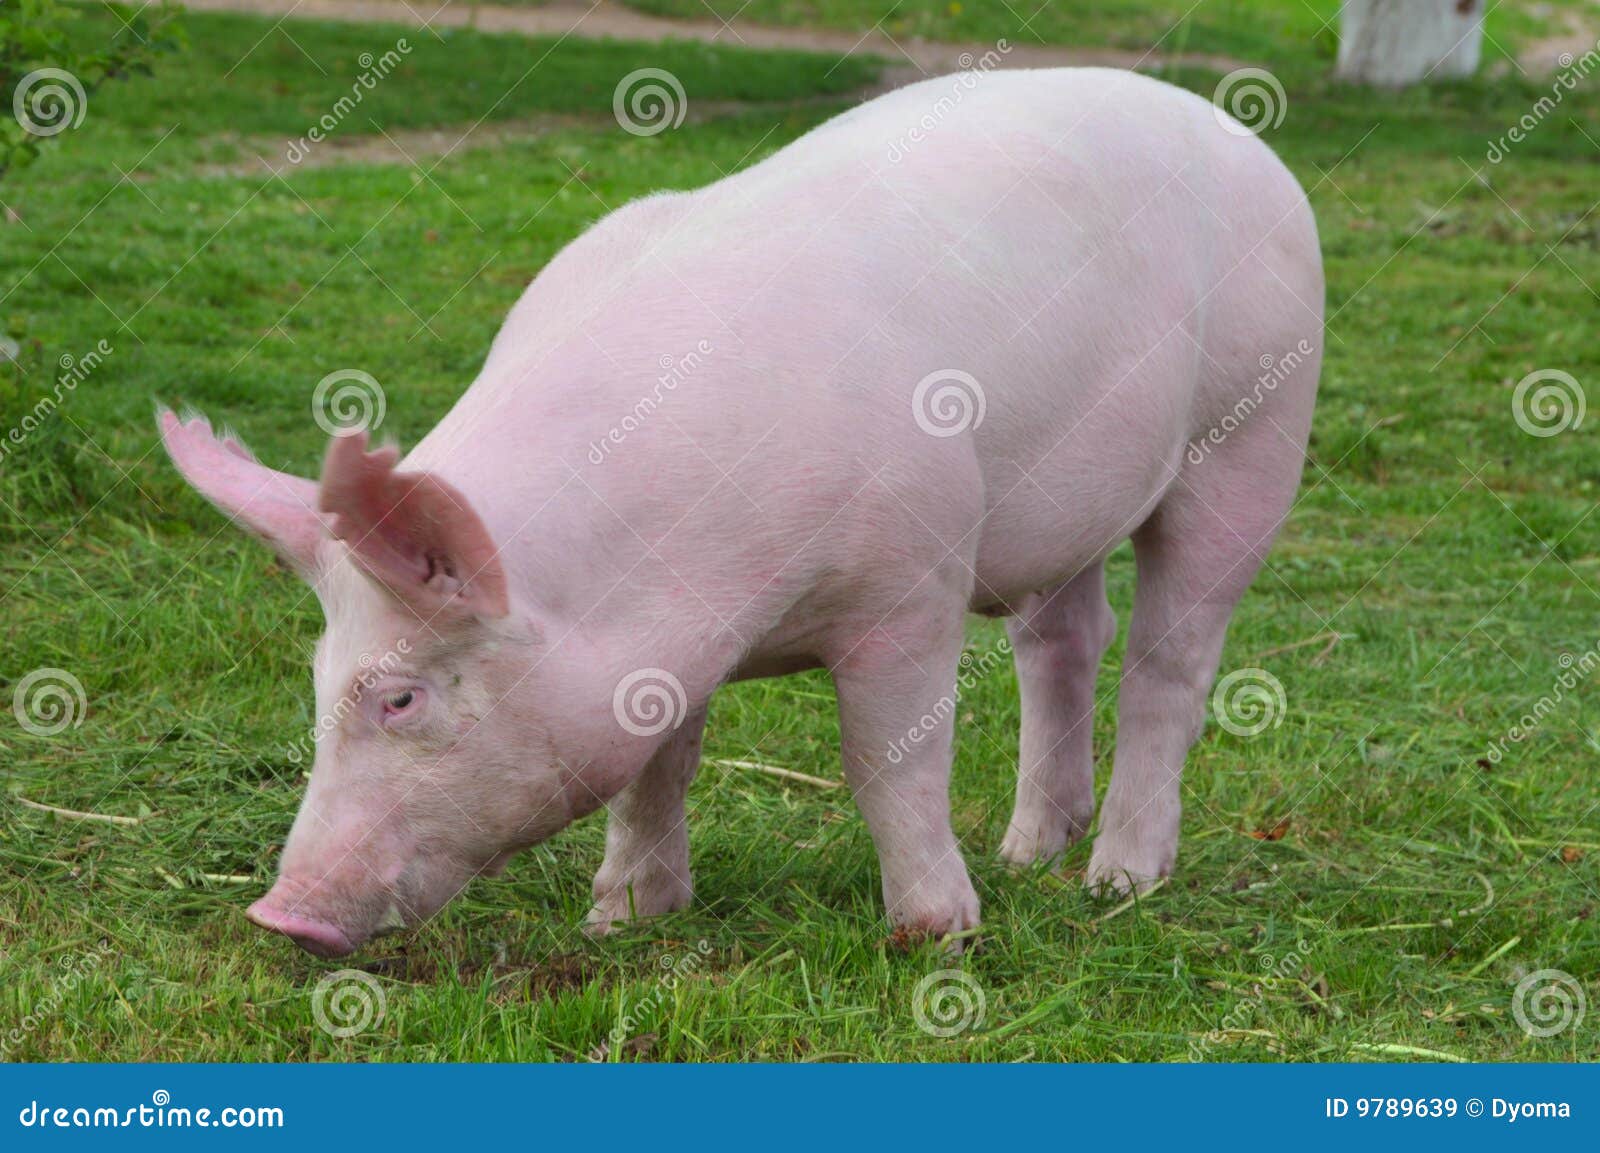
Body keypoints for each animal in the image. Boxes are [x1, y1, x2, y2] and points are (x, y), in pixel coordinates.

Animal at [161, 67, 1321, 958]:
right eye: (317, 679)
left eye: (400, 697)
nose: (281, 915)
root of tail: (1237, 135)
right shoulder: (663, 651)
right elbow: (656, 765)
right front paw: (622, 920)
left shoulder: (913, 575)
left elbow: (889, 759)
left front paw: (934, 936)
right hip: (1059, 504)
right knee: (1067, 637)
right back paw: (1029, 853)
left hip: (1258, 424)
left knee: (1170, 658)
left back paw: (1116, 882)